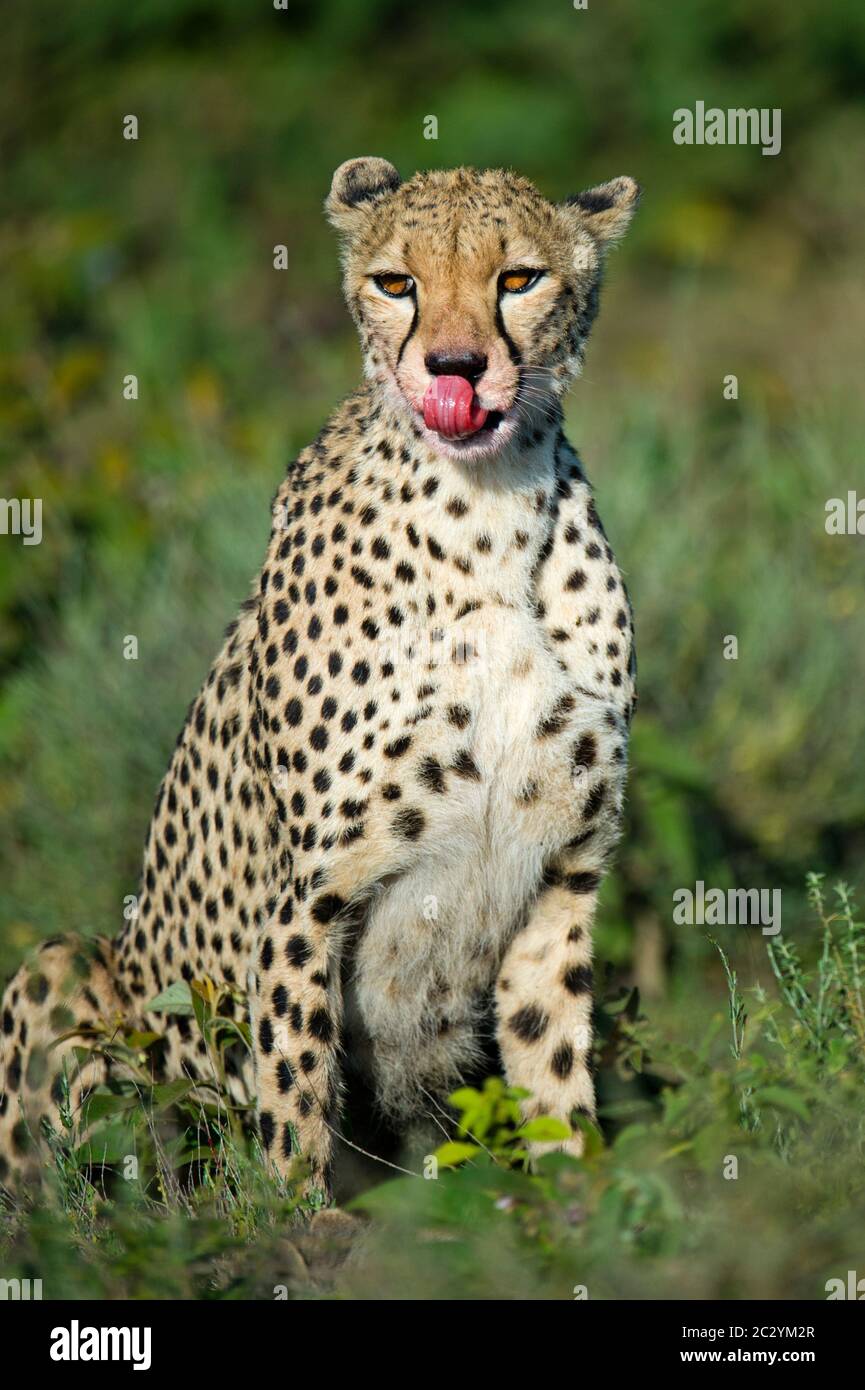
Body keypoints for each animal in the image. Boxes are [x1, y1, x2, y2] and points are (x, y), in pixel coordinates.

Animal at [0, 158, 639, 1198]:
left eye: (518, 279)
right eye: (396, 284)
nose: (453, 368)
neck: (487, 517)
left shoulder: (563, 875)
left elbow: (551, 1053)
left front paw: (580, 1187)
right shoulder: (308, 896)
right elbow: (295, 1076)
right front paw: (305, 1216)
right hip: (70, 967)